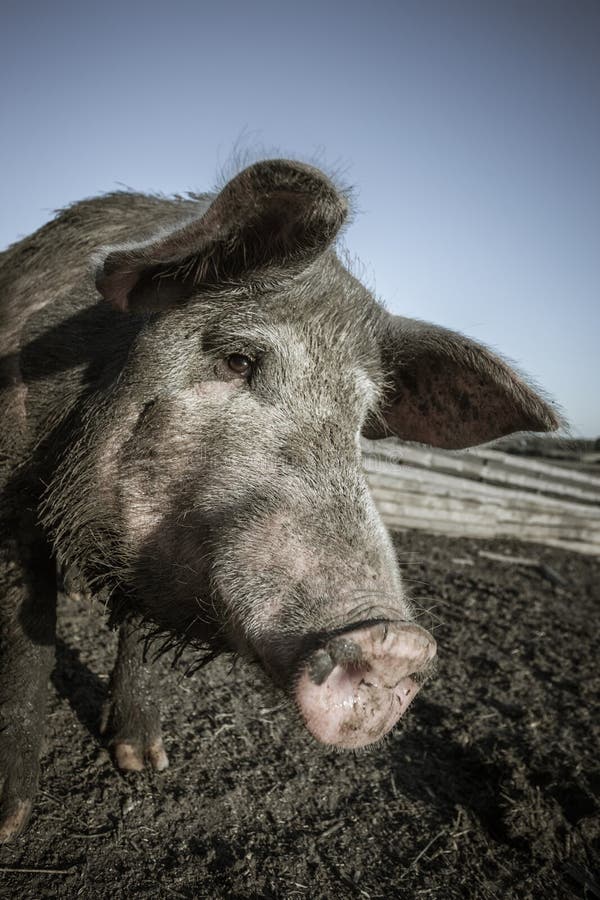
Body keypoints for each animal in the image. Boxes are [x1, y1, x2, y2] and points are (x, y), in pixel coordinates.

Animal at [0, 159, 559, 841]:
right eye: (238, 360)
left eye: (361, 417)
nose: (395, 639)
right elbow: (27, 637)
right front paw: (10, 825)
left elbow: (135, 630)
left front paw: (145, 763)